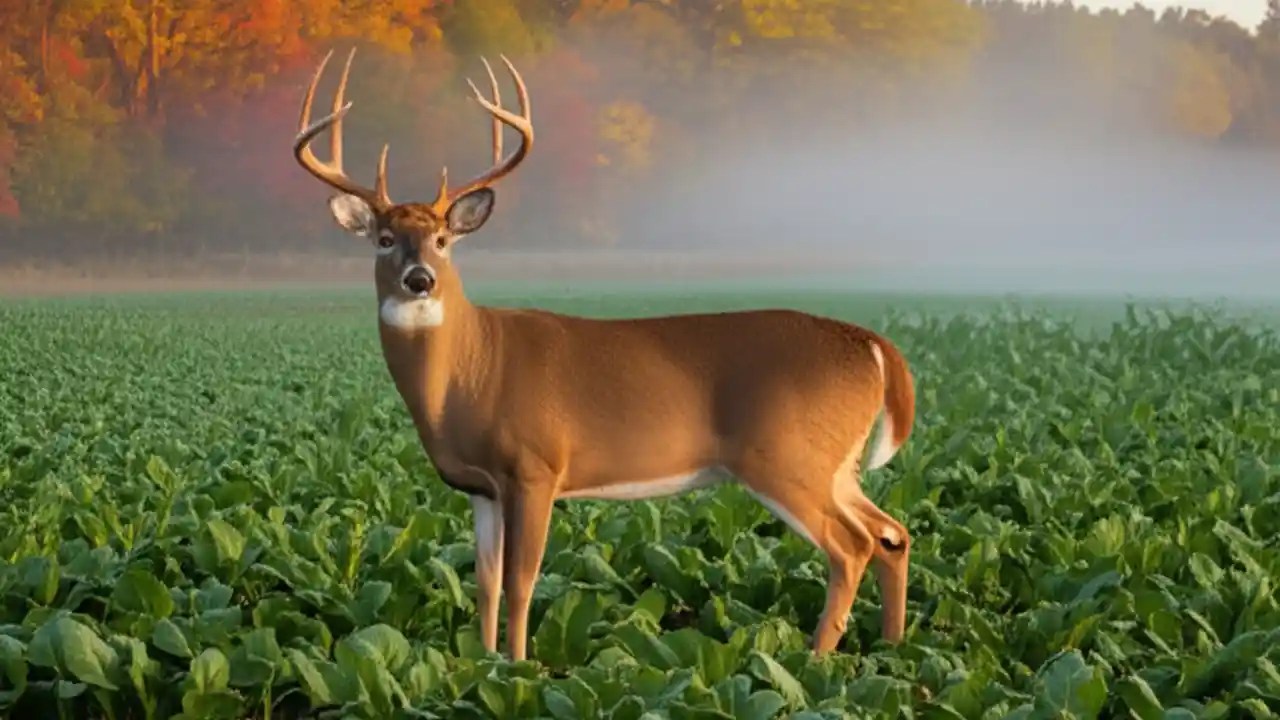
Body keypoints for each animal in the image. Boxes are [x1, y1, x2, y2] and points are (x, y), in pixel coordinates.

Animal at [291, 48, 917, 661]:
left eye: (443, 240)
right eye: (384, 240)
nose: (420, 280)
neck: (468, 374)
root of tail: (874, 345)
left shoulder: (536, 465)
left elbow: (521, 579)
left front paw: (519, 668)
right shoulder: (480, 486)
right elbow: (485, 581)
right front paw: (480, 665)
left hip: (786, 456)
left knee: (853, 545)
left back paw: (817, 662)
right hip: (834, 463)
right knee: (892, 533)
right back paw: (892, 649)